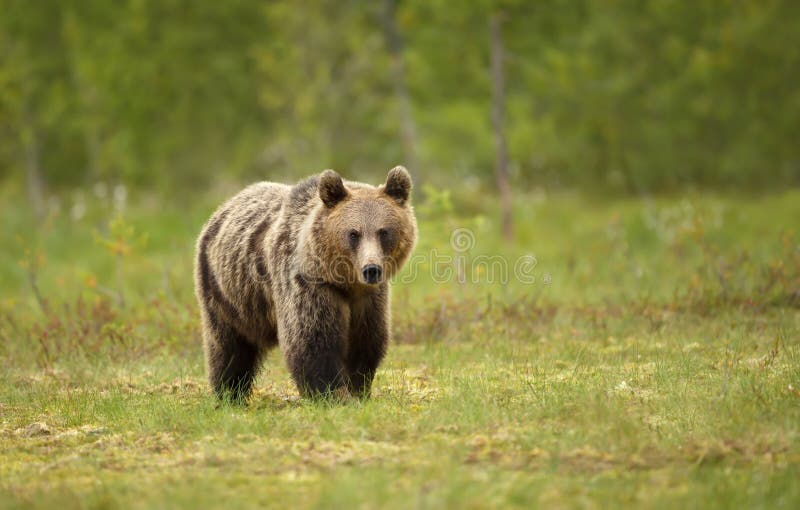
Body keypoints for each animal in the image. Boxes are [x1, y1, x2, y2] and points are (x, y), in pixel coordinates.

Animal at [194, 166, 417, 401]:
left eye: (384, 232)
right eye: (353, 233)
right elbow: (312, 341)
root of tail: (224, 207)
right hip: (225, 291)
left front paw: (358, 389)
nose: (371, 269)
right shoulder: (309, 285)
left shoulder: (369, 299)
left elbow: (366, 340)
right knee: (229, 346)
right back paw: (229, 393)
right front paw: (333, 394)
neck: (345, 283)